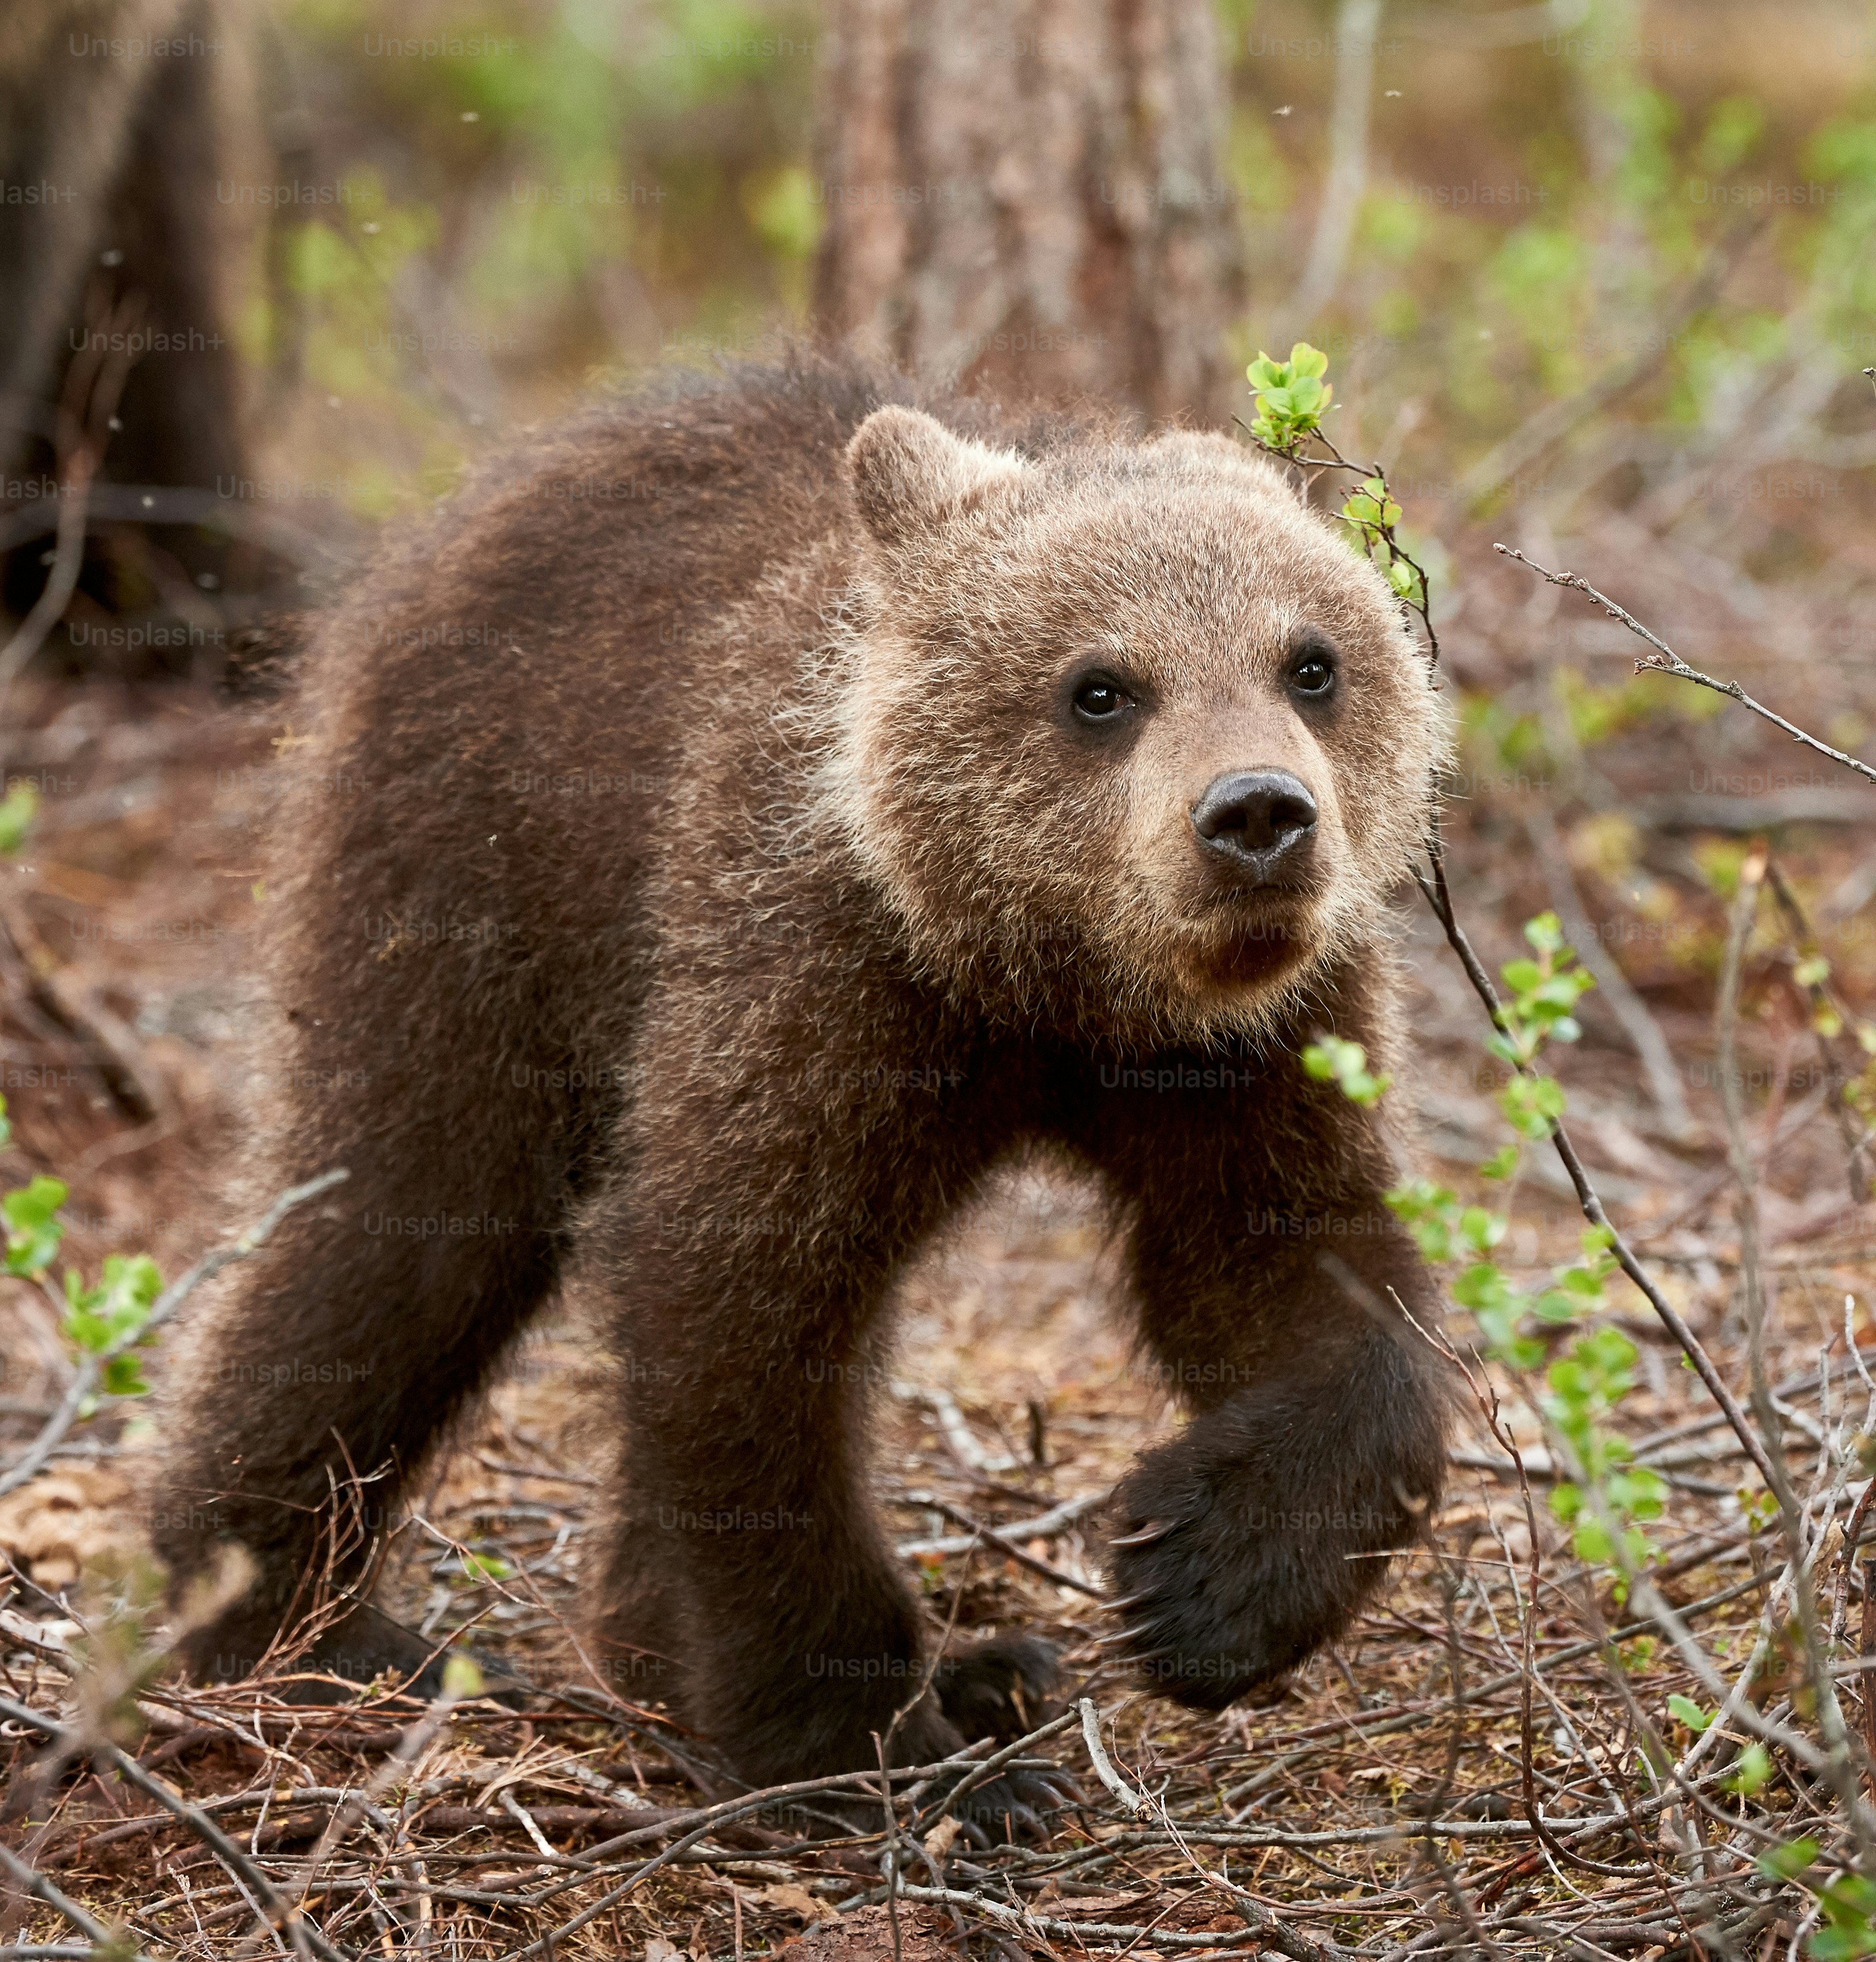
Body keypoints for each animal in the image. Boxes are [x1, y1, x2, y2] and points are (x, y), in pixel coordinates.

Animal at [150, 347, 1452, 1830]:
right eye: (1099, 686)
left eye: (1311, 661)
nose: (1255, 818)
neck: (1045, 990)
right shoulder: (813, 977)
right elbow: (741, 1308)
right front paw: (882, 1743)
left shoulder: (1254, 1047)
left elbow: (1294, 1270)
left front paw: (1197, 1587)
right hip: (471, 870)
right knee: (401, 1218)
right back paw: (291, 1621)